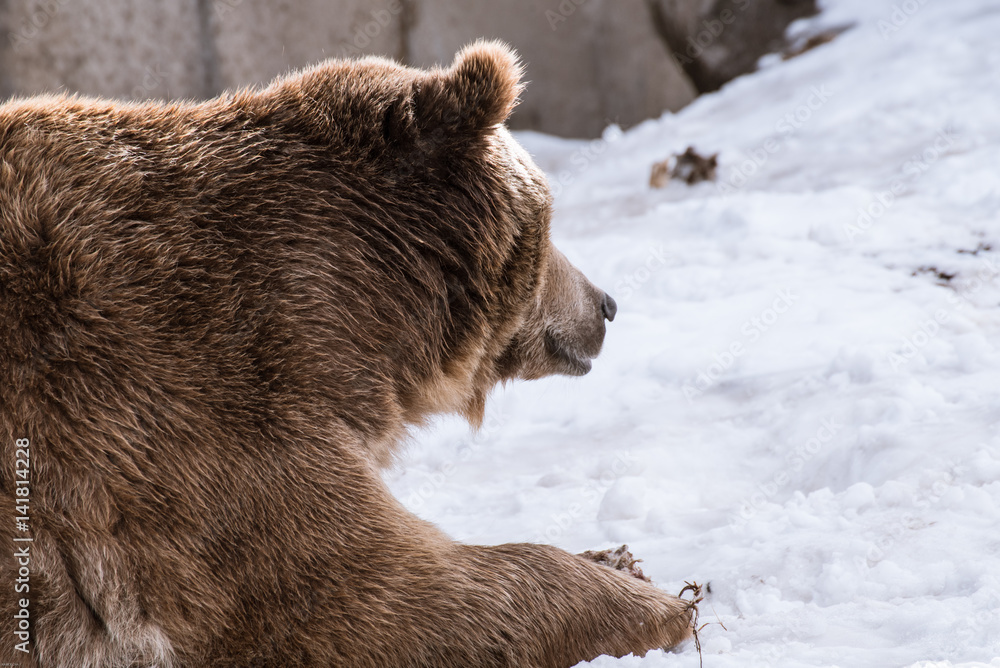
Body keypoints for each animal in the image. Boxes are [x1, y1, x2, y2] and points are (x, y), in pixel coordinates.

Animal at [0, 41, 693, 667]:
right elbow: (377, 595)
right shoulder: (165, 413)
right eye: (548, 225)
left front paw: (619, 560)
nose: (605, 304)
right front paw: (656, 601)